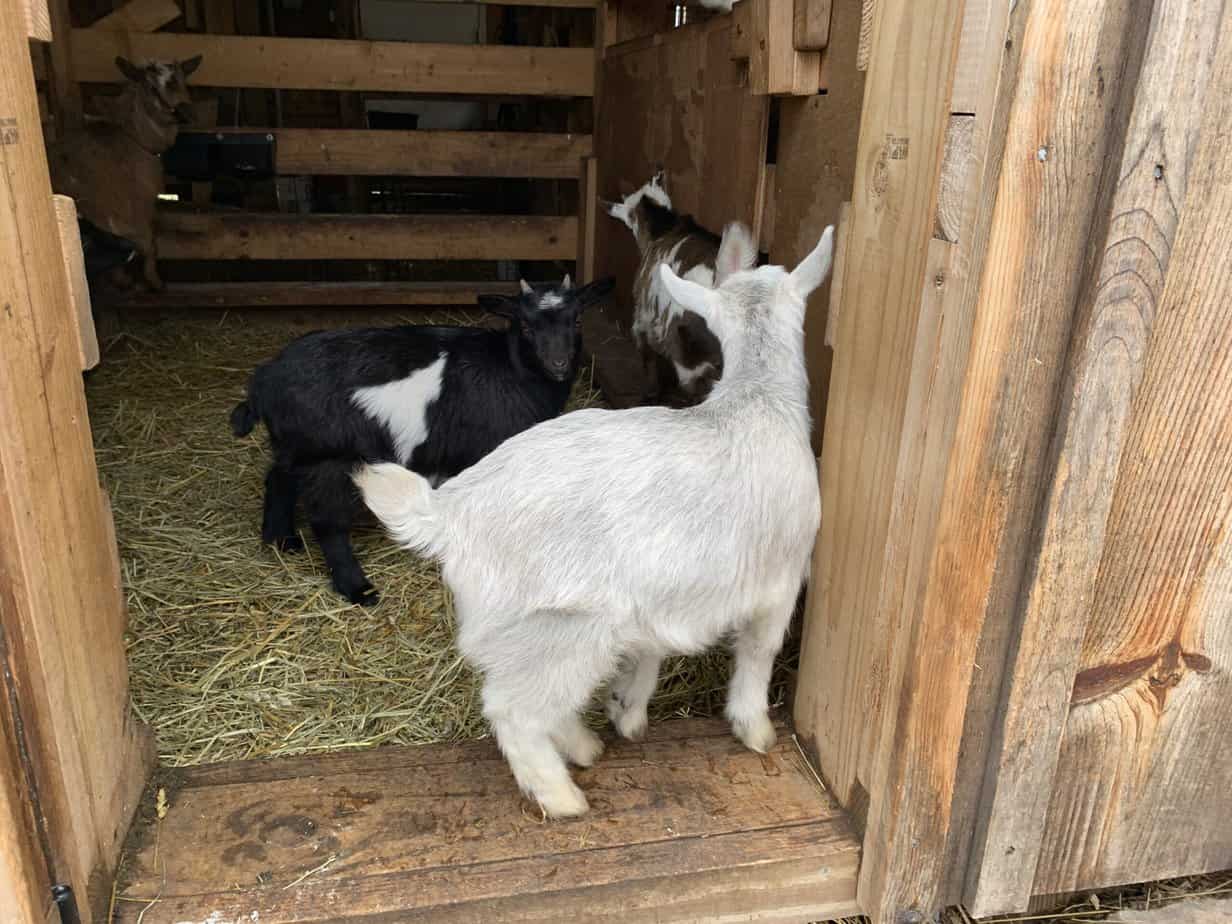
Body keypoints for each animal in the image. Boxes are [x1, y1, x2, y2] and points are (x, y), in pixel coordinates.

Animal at [47, 55, 201, 291]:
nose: (186, 110)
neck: (133, 140)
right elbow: (149, 244)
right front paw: (153, 281)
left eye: (184, 81)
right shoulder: (129, 212)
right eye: (151, 87)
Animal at [231, 276, 615, 605]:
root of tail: (265, 378)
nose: (558, 364)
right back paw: (357, 589)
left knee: (279, 478)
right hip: (331, 459)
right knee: (328, 523)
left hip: (298, 446)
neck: (510, 370)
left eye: (577, 320)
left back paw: (281, 540)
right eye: (525, 326)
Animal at [355, 227, 834, 818]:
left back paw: (583, 747)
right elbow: (758, 654)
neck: (757, 402)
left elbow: (650, 654)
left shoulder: (663, 594)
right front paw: (755, 729)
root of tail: (450, 513)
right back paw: (560, 795)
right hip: (563, 627)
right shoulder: (780, 581)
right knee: (511, 708)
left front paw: (629, 712)